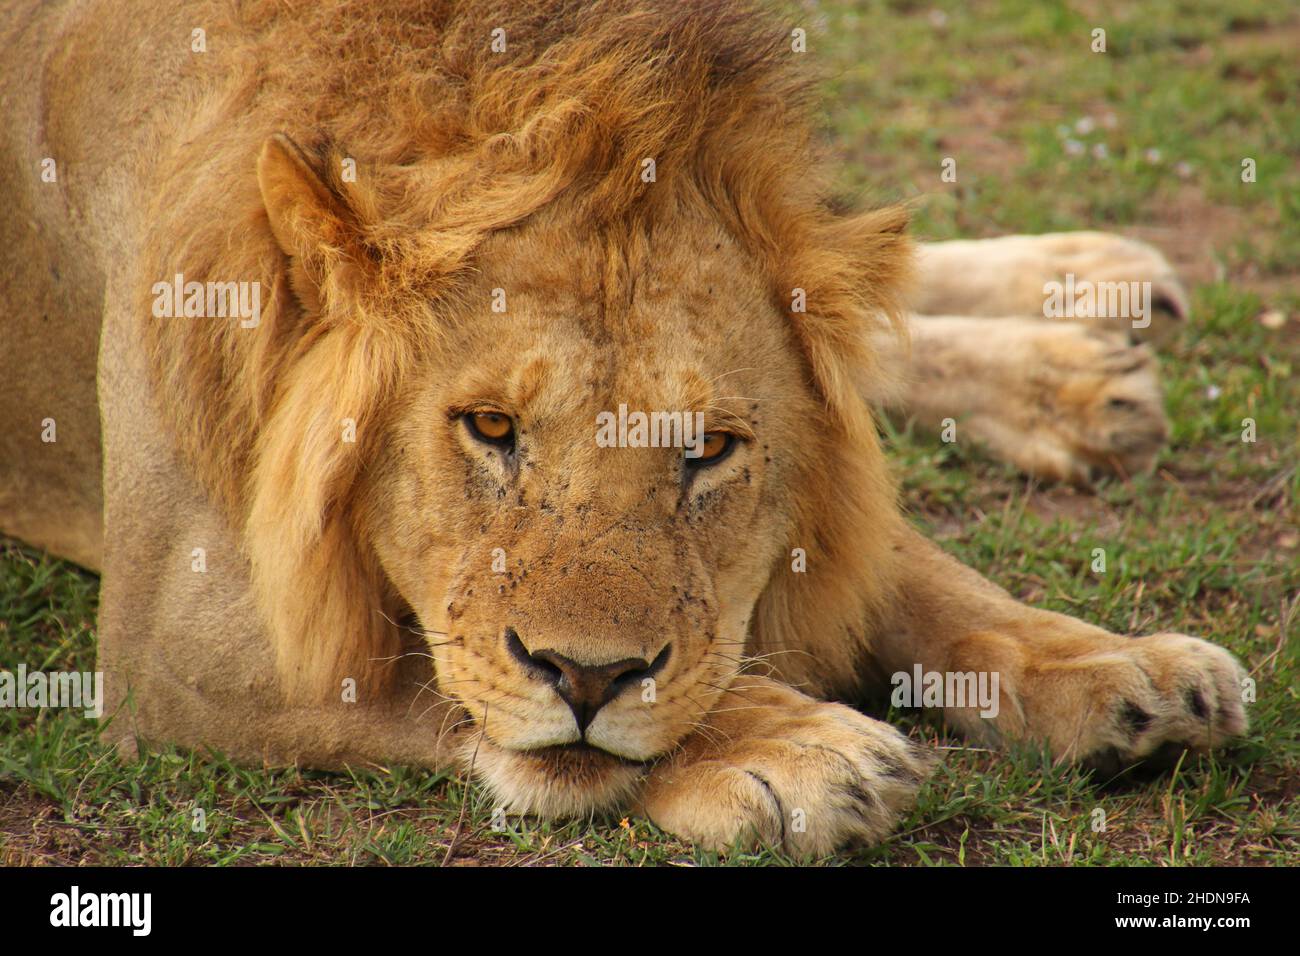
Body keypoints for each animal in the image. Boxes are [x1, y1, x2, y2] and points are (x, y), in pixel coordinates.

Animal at [0, 0, 1247, 856]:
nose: (586, 678)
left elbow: (921, 574)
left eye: (709, 449)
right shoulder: (176, 633)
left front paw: (1117, 663)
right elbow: (423, 662)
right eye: (488, 426)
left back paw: (1083, 318)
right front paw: (794, 748)